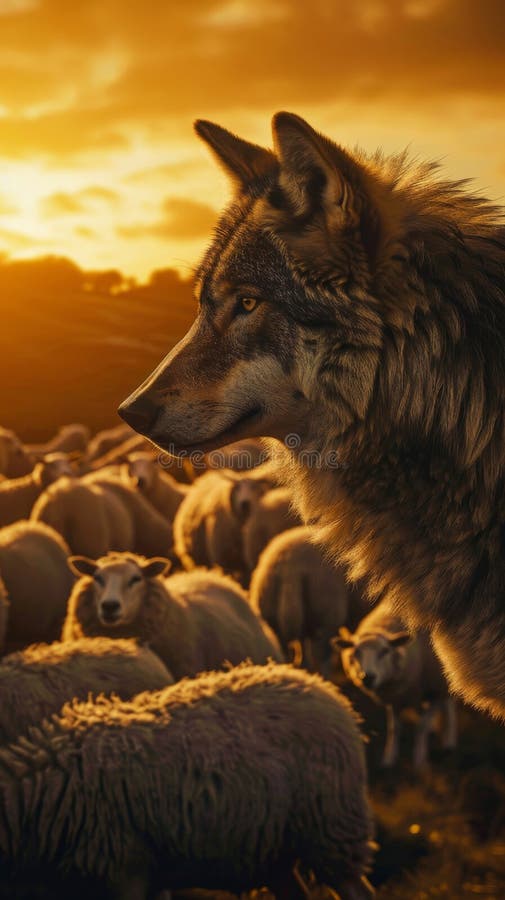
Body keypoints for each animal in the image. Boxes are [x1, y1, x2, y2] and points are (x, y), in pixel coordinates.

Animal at [334, 602, 457, 769]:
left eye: (385, 651)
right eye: (356, 652)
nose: (368, 677)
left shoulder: (434, 691)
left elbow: (421, 726)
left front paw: (419, 759)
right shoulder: (394, 698)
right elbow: (394, 728)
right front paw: (389, 757)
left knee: (448, 705)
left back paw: (449, 739)